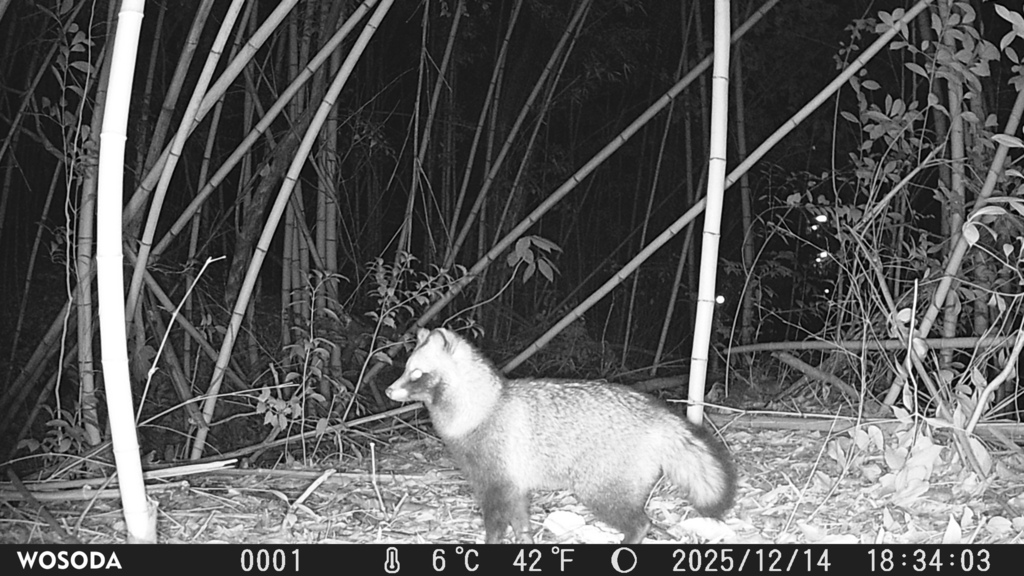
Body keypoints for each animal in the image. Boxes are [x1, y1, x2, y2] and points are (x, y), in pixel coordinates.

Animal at [386, 327, 736, 544]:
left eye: (417, 372)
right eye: (405, 368)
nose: (389, 391)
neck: (484, 407)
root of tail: (658, 414)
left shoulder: (495, 480)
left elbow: (495, 526)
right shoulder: (515, 484)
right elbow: (521, 524)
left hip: (599, 489)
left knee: (640, 523)